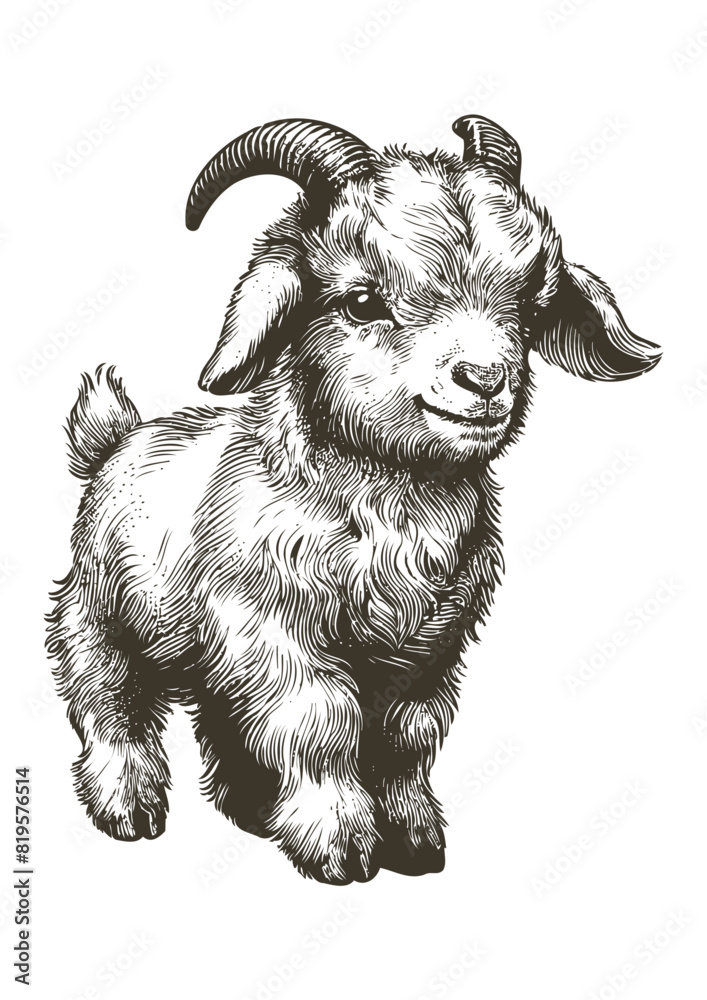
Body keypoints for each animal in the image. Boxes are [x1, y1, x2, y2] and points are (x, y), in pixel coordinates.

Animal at [47, 117, 660, 883]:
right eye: (362, 300)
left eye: (528, 305)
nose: (484, 379)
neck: (386, 506)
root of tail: (113, 440)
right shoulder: (280, 637)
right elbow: (321, 725)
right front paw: (338, 846)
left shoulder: (426, 654)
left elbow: (405, 739)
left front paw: (415, 840)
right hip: (99, 620)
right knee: (110, 706)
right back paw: (129, 809)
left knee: (219, 716)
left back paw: (247, 810)